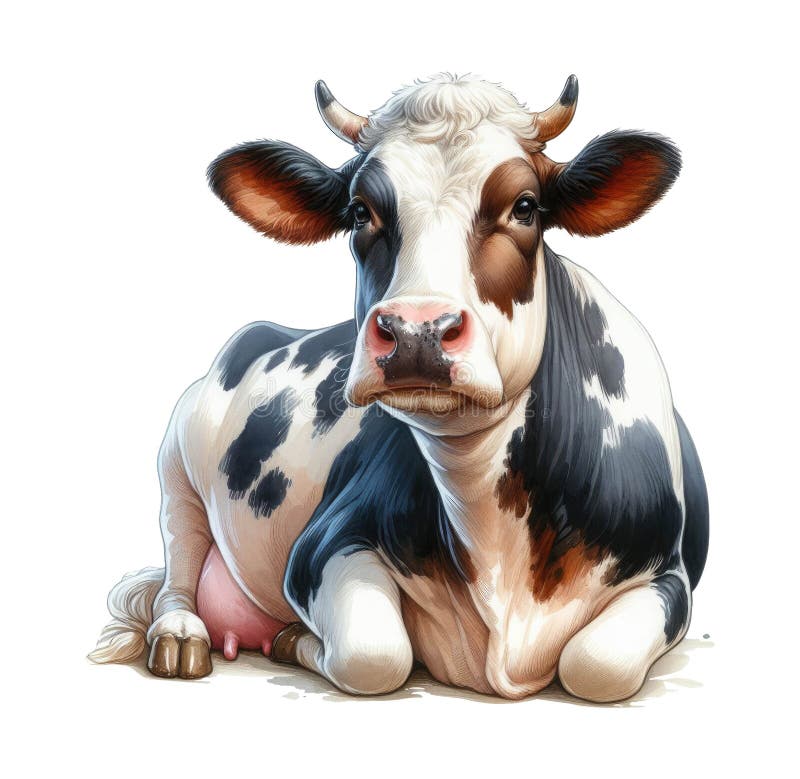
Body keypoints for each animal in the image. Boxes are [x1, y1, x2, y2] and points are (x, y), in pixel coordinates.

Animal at [90, 74, 709, 702]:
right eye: (360, 212)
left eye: (525, 207)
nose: (417, 331)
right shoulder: (324, 546)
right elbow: (376, 655)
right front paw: (295, 639)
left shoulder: (666, 577)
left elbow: (596, 666)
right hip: (176, 465)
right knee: (180, 559)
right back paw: (180, 635)